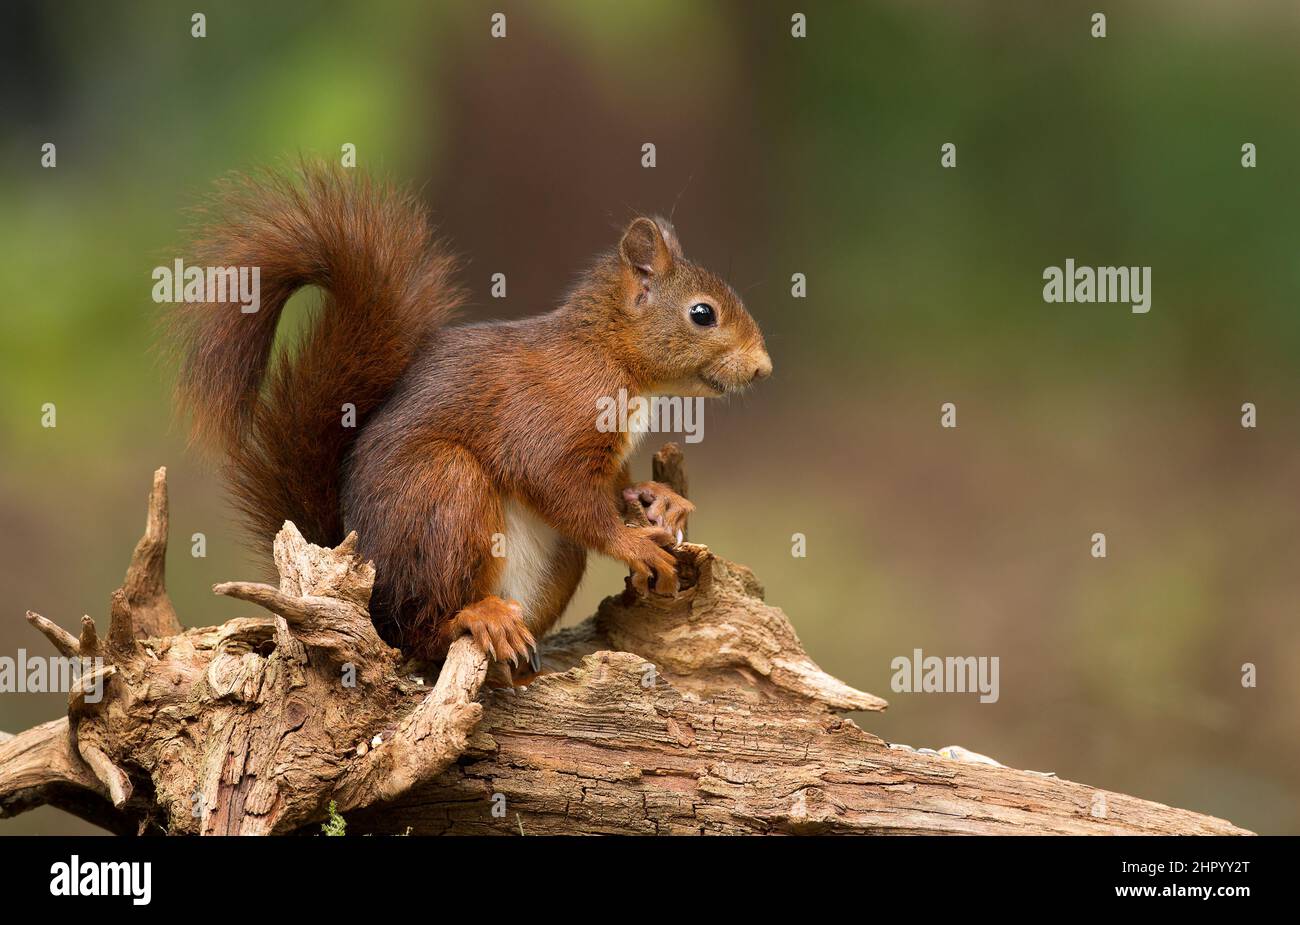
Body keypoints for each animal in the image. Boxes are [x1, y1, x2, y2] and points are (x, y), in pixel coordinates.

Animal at [166, 162, 771, 683]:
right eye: (702, 314)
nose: (763, 369)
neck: (610, 355)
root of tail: (370, 589)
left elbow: (613, 486)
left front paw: (659, 499)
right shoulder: (551, 420)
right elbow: (559, 487)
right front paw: (633, 543)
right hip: (446, 489)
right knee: (420, 635)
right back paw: (475, 619)